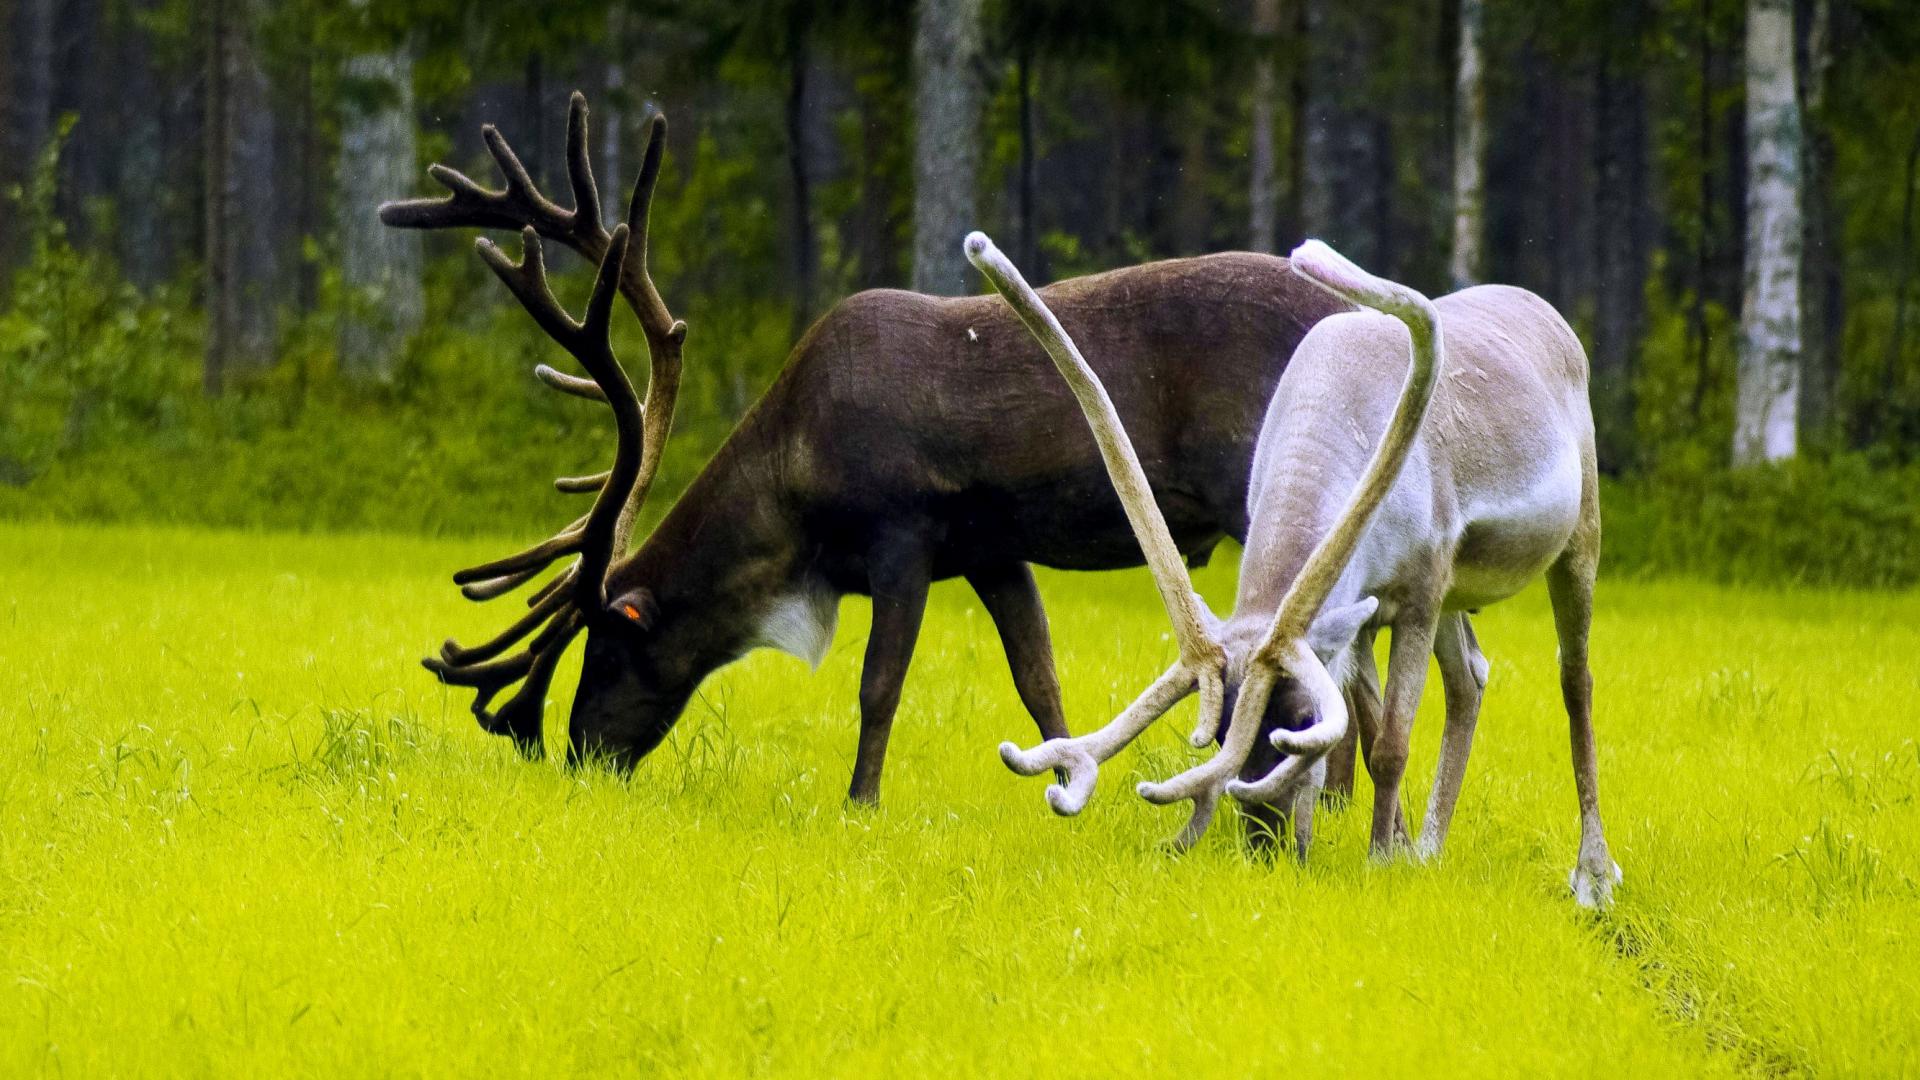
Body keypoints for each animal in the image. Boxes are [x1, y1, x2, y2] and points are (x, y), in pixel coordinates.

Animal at [378, 93, 1351, 804]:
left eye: (610, 644)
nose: (579, 753)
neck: (796, 511)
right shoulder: (993, 548)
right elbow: (1038, 677)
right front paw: (1075, 787)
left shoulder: (903, 532)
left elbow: (879, 683)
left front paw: (860, 801)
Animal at [968, 232, 1622, 907]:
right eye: (1219, 732)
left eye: (1300, 726)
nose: (1266, 845)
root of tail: (1551, 316)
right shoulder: (1361, 609)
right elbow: (1370, 725)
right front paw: (1397, 848)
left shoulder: (1418, 589)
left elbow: (1390, 744)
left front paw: (1380, 862)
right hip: (1457, 588)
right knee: (1470, 676)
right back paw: (1429, 848)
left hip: (1578, 533)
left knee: (1576, 681)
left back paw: (1593, 875)